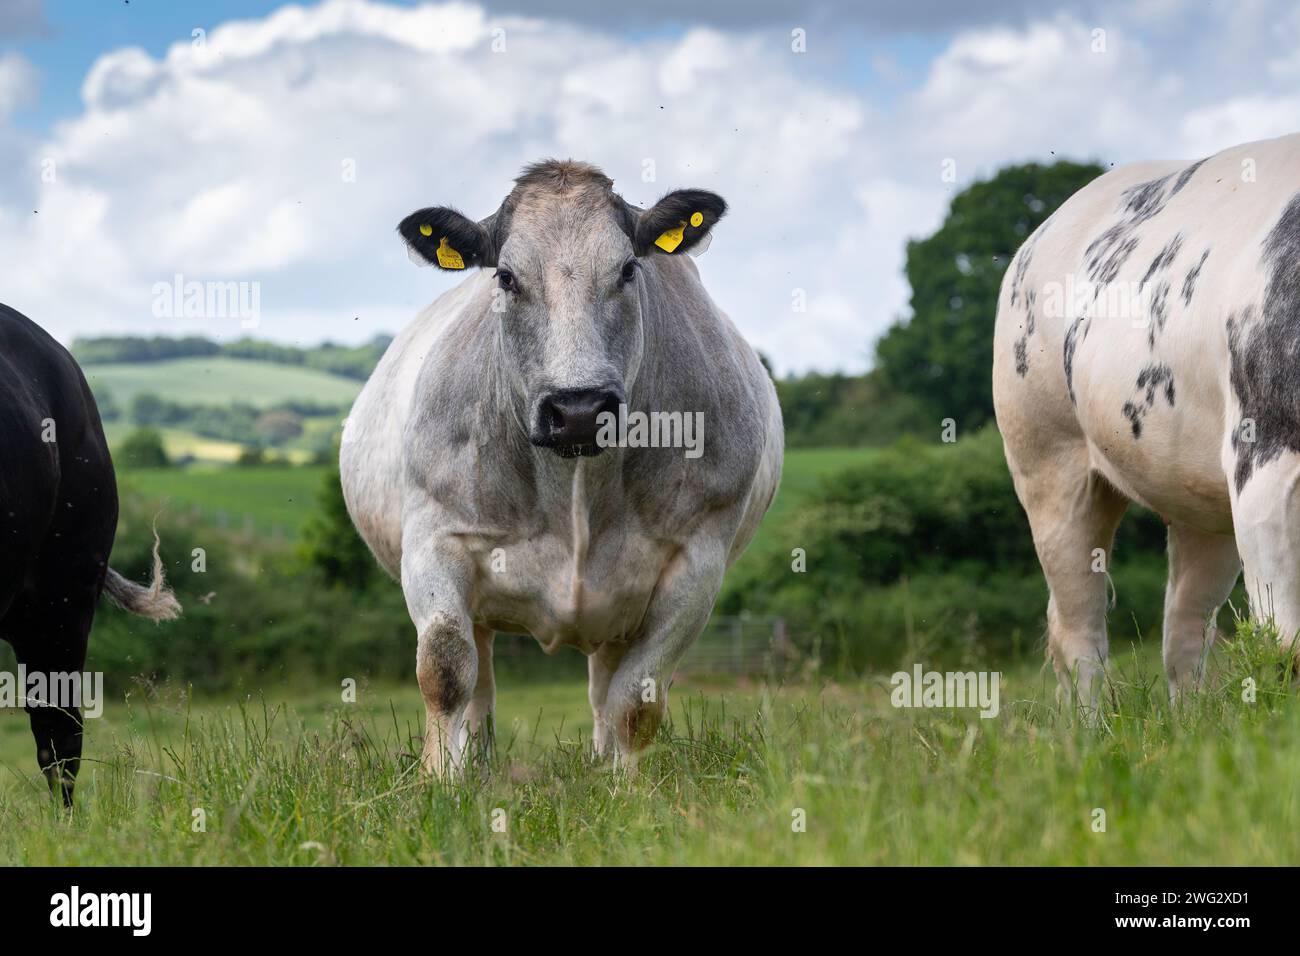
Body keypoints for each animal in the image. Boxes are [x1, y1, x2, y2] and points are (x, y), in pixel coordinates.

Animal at [341, 160, 783, 775]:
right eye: (505, 277)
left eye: (628, 269)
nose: (579, 410)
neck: (574, 485)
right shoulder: (435, 538)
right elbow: (446, 672)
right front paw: (440, 781)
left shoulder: (696, 562)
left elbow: (636, 699)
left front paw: (626, 787)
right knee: (480, 687)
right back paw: (475, 768)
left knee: (603, 690)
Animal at [993, 132, 1300, 706]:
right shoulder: (1265, 456)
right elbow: (1287, 639)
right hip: (1047, 463)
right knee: (1078, 629)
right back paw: (1092, 726)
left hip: (1197, 495)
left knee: (1183, 629)